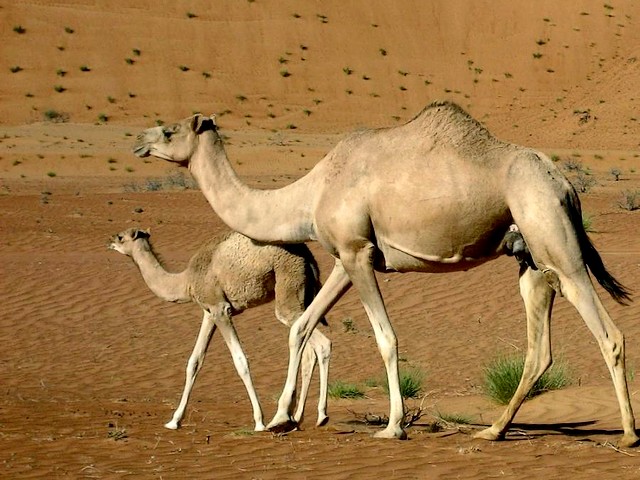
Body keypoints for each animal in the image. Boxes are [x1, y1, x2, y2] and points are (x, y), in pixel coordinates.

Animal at [109, 227, 331, 431]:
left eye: (121, 237)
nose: (109, 242)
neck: (185, 281)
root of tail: (309, 258)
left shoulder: (221, 309)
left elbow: (240, 361)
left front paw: (259, 422)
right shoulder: (209, 312)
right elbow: (195, 361)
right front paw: (174, 421)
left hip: (288, 286)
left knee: (320, 342)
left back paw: (318, 416)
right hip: (302, 294)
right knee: (308, 348)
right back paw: (298, 418)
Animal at [132, 100, 638, 447]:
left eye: (169, 129)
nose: (139, 140)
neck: (311, 191)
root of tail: (565, 184)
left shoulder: (358, 254)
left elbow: (385, 337)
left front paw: (393, 426)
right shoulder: (344, 258)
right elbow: (301, 326)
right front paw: (282, 418)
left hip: (554, 237)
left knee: (608, 334)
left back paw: (630, 434)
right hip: (530, 257)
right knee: (539, 349)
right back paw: (493, 430)